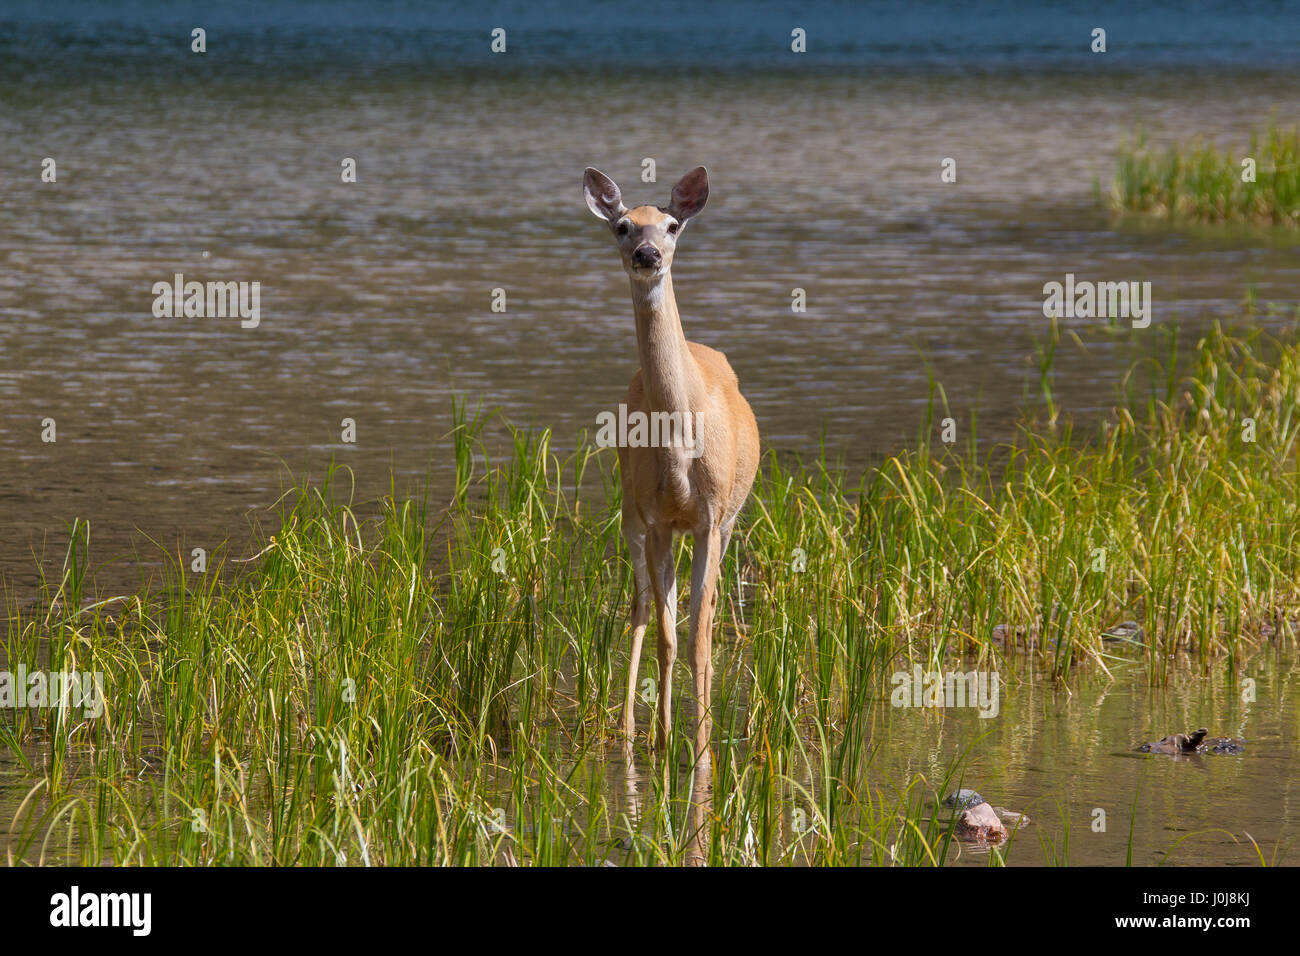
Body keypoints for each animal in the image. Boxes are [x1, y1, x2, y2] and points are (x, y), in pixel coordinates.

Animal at [583, 165, 760, 769]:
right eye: (621, 225)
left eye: (672, 225)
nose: (647, 253)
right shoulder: (657, 518)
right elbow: (666, 634)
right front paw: (662, 740)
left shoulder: (710, 516)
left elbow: (700, 636)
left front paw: (702, 747)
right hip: (629, 512)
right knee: (639, 606)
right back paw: (629, 730)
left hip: (727, 522)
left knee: (703, 610)